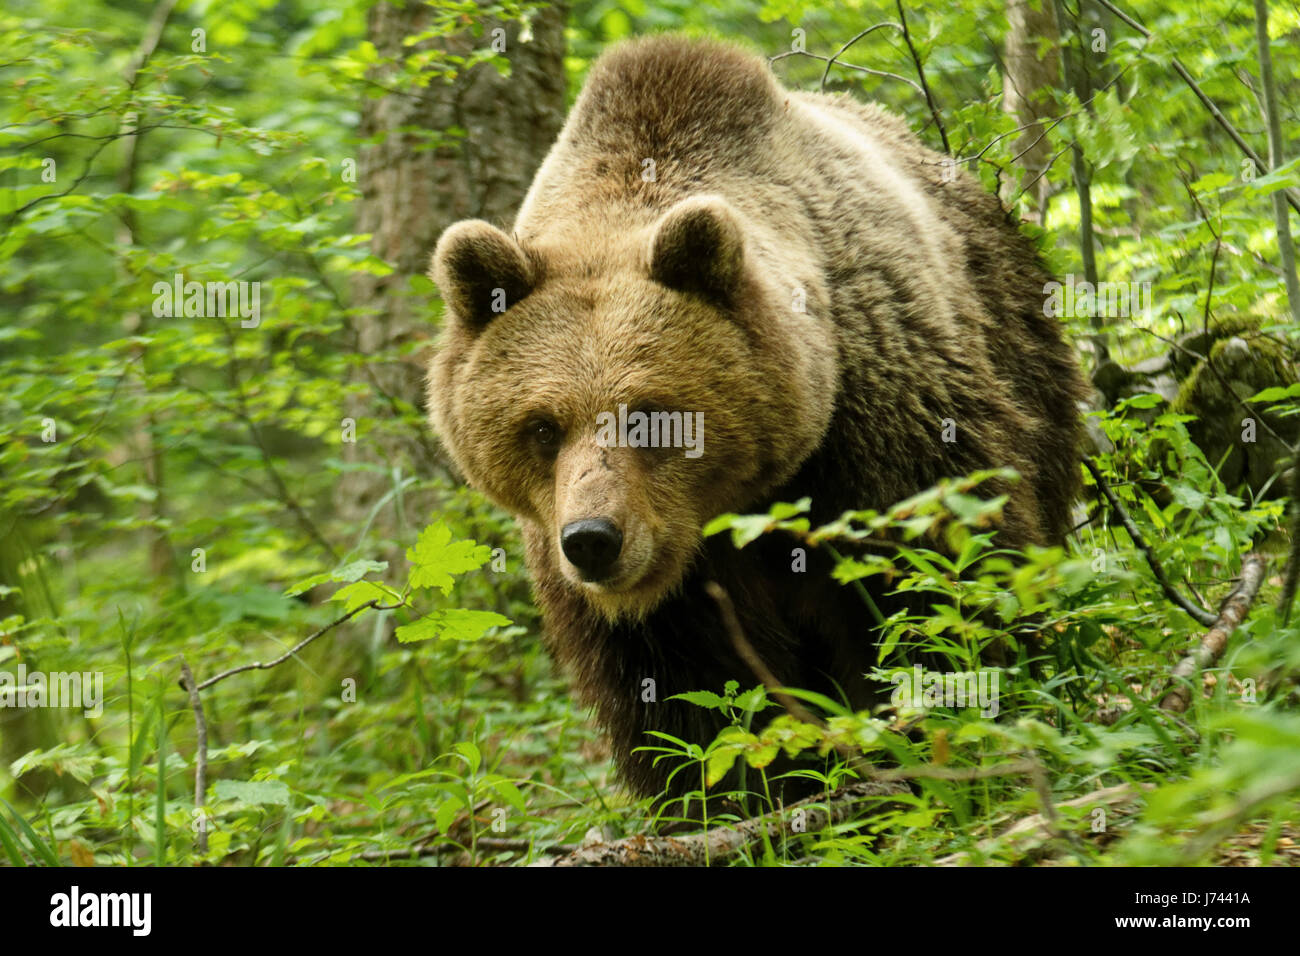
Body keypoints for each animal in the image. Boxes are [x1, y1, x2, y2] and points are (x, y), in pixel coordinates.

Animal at [426, 34, 1086, 804]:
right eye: (541, 427)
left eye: (651, 416)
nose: (593, 539)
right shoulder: (647, 583)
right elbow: (685, 690)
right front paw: (732, 793)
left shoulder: (881, 417)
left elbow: (931, 578)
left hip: (1020, 348)